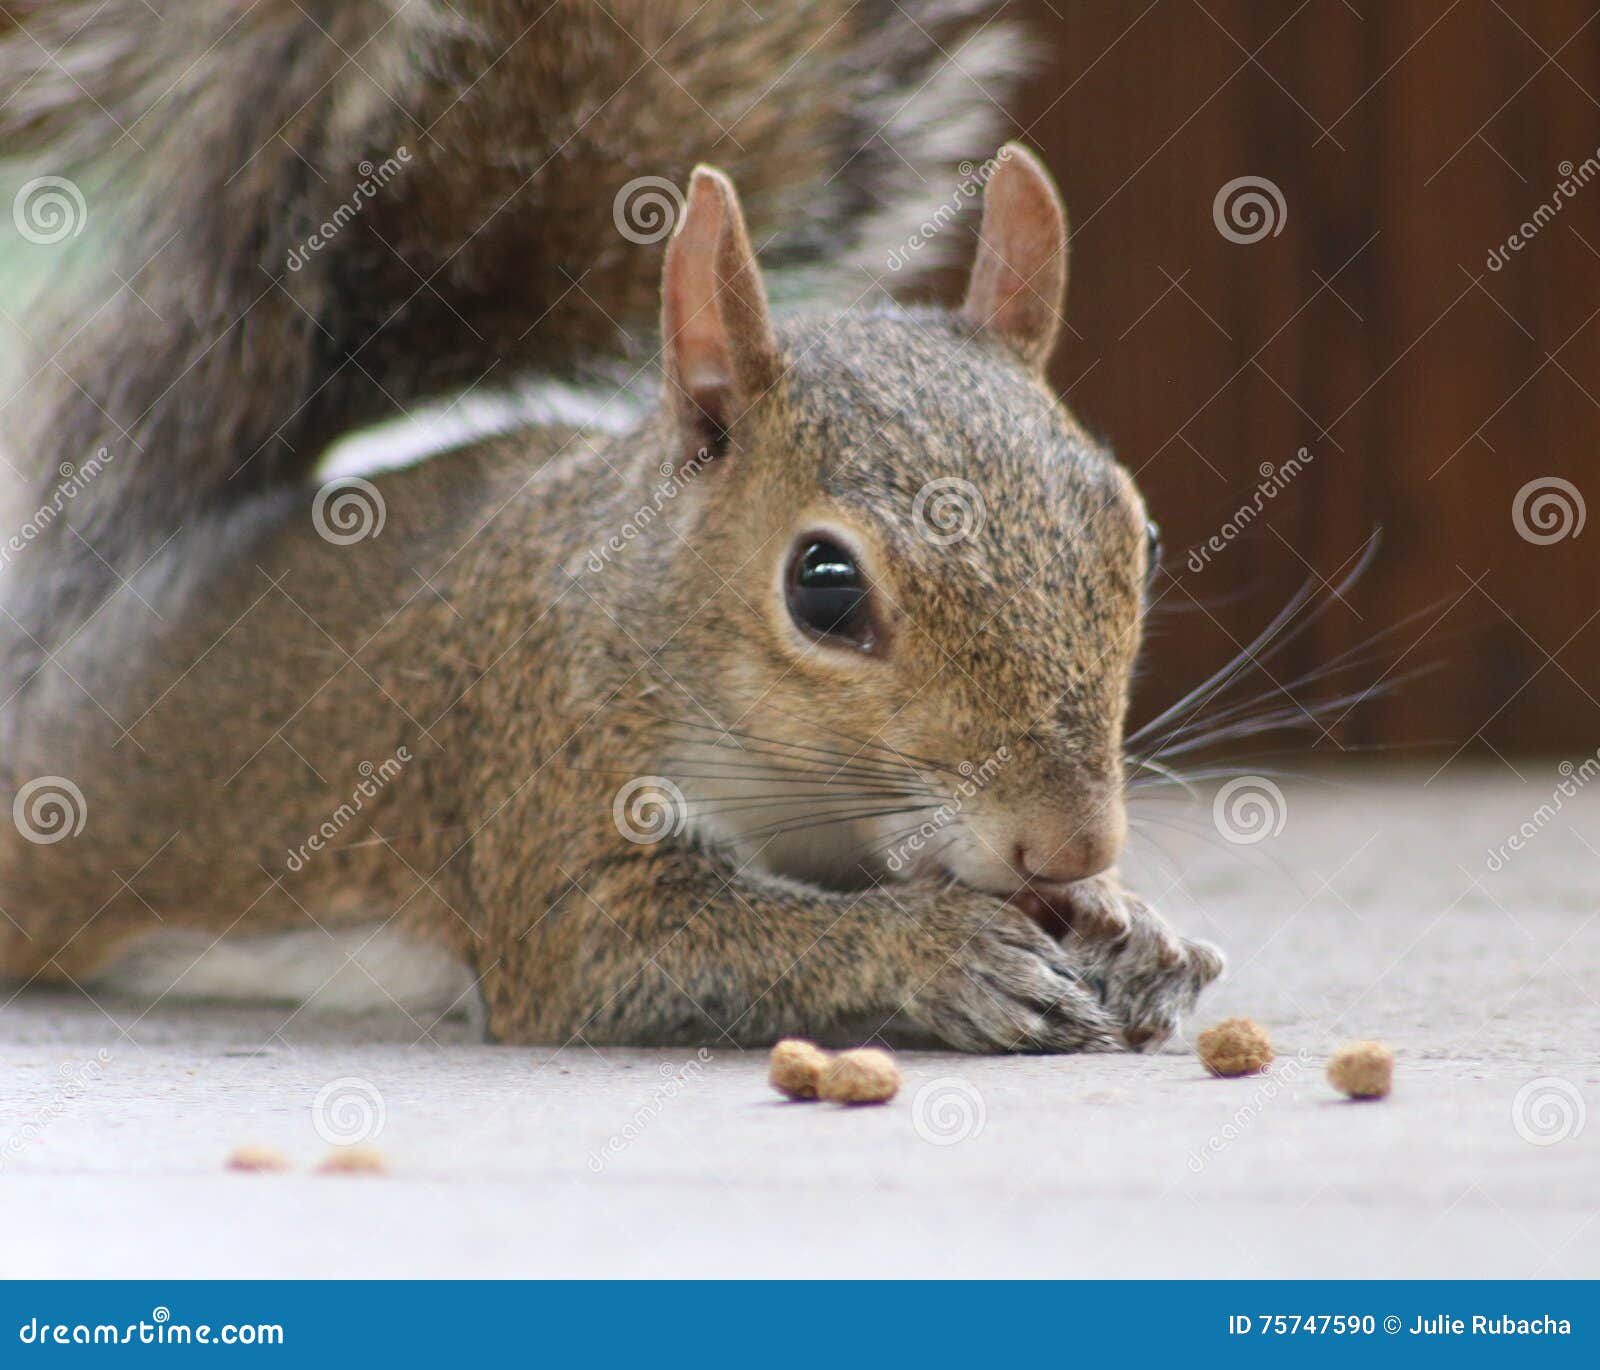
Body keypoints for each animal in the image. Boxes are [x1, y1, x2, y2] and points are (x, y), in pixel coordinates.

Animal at [0, 0, 1222, 1050]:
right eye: (822, 587)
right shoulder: (546, 764)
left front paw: (1132, 925)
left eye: (1144, 539)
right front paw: (942, 951)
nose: (1070, 842)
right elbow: (608, 944)